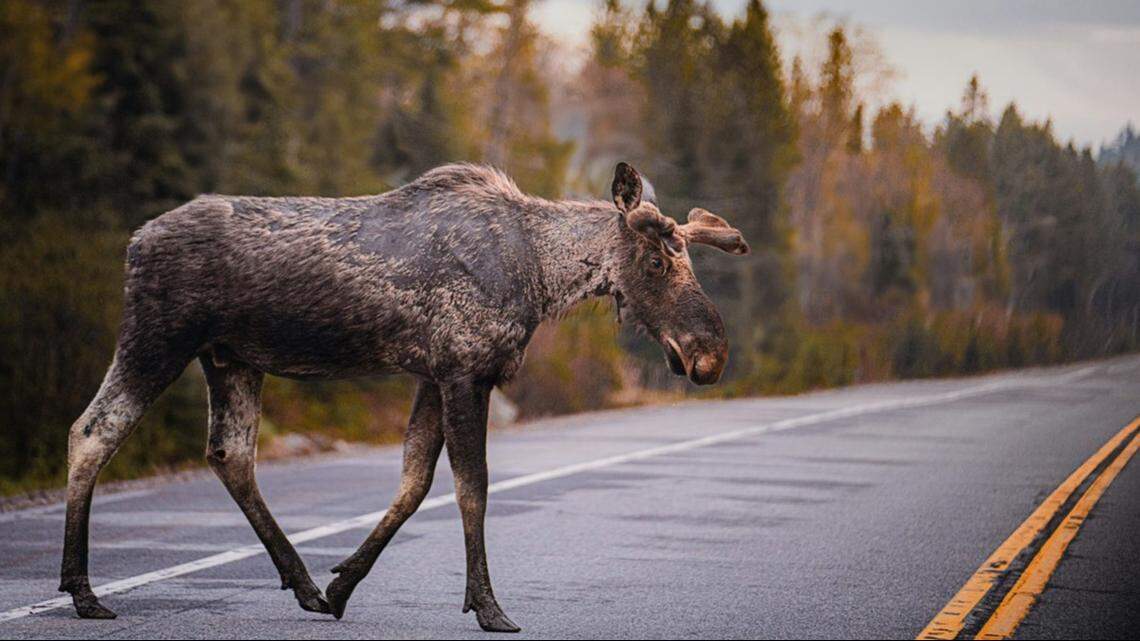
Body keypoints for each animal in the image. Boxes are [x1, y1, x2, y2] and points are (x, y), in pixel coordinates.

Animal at [59, 162, 749, 631]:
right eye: (657, 263)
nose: (709, 355)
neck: (541, 276)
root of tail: (133, 243)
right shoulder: (465, 371)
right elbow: (472, 488)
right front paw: (488, 606)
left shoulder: (433, 374)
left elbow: (414, 482)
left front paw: (343, 586)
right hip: (158, 338)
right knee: (91, 431)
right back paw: (83, 591)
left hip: (231, 358)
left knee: (230, 454)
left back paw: (303, 584)